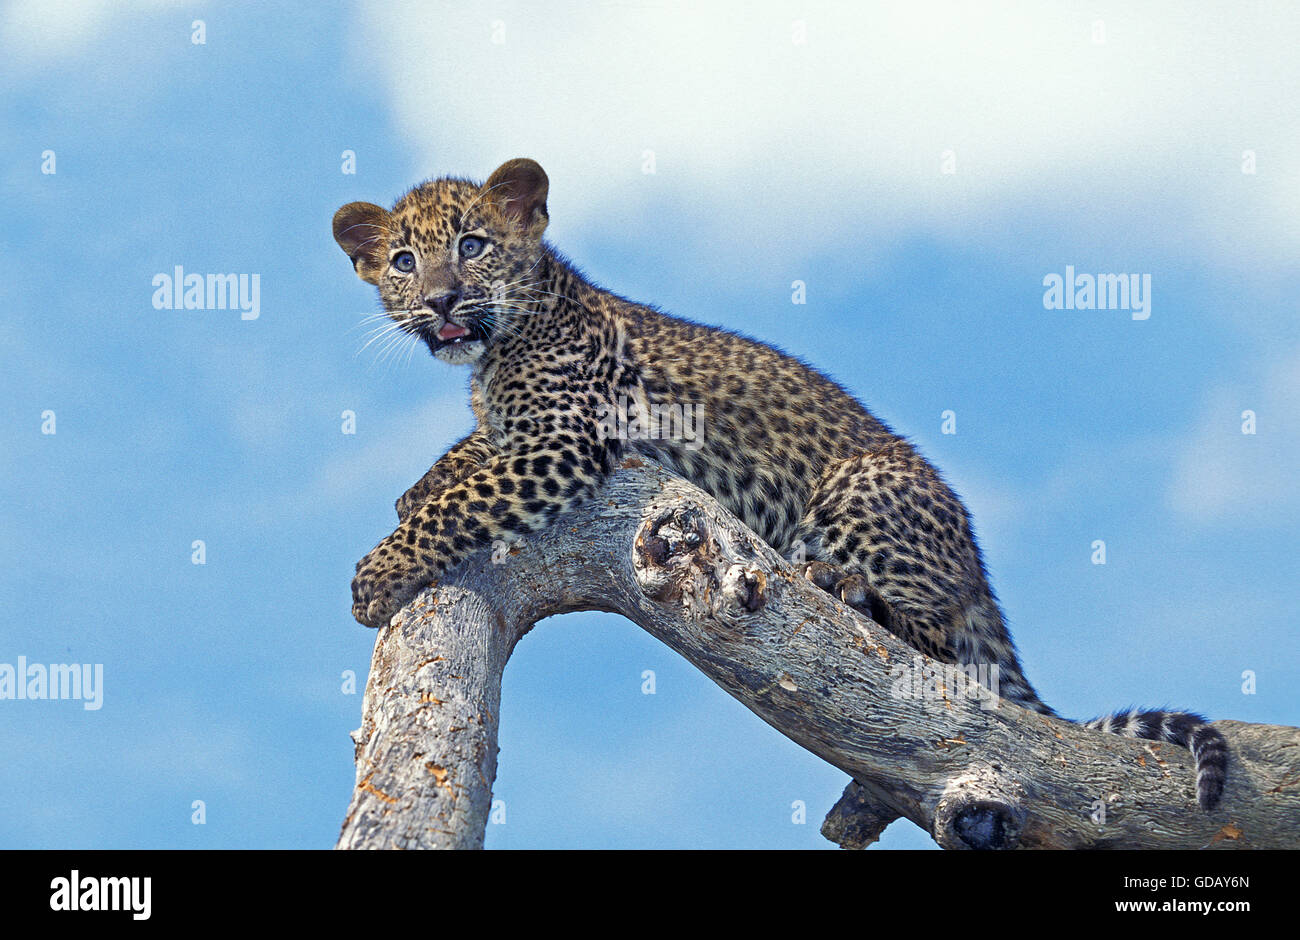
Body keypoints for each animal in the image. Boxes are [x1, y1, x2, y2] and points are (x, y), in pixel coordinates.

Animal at [332, 158, 1228, 820]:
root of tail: (974, 568)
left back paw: (850, 589)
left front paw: (374, 575)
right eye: (405, 261)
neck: (505, 339)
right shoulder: (522, 432)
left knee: (939, 652)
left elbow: (467, 499)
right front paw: (416, 487)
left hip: (863, 489)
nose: (442, 299)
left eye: (473, 245)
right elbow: (466, 455)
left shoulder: (564, 444)